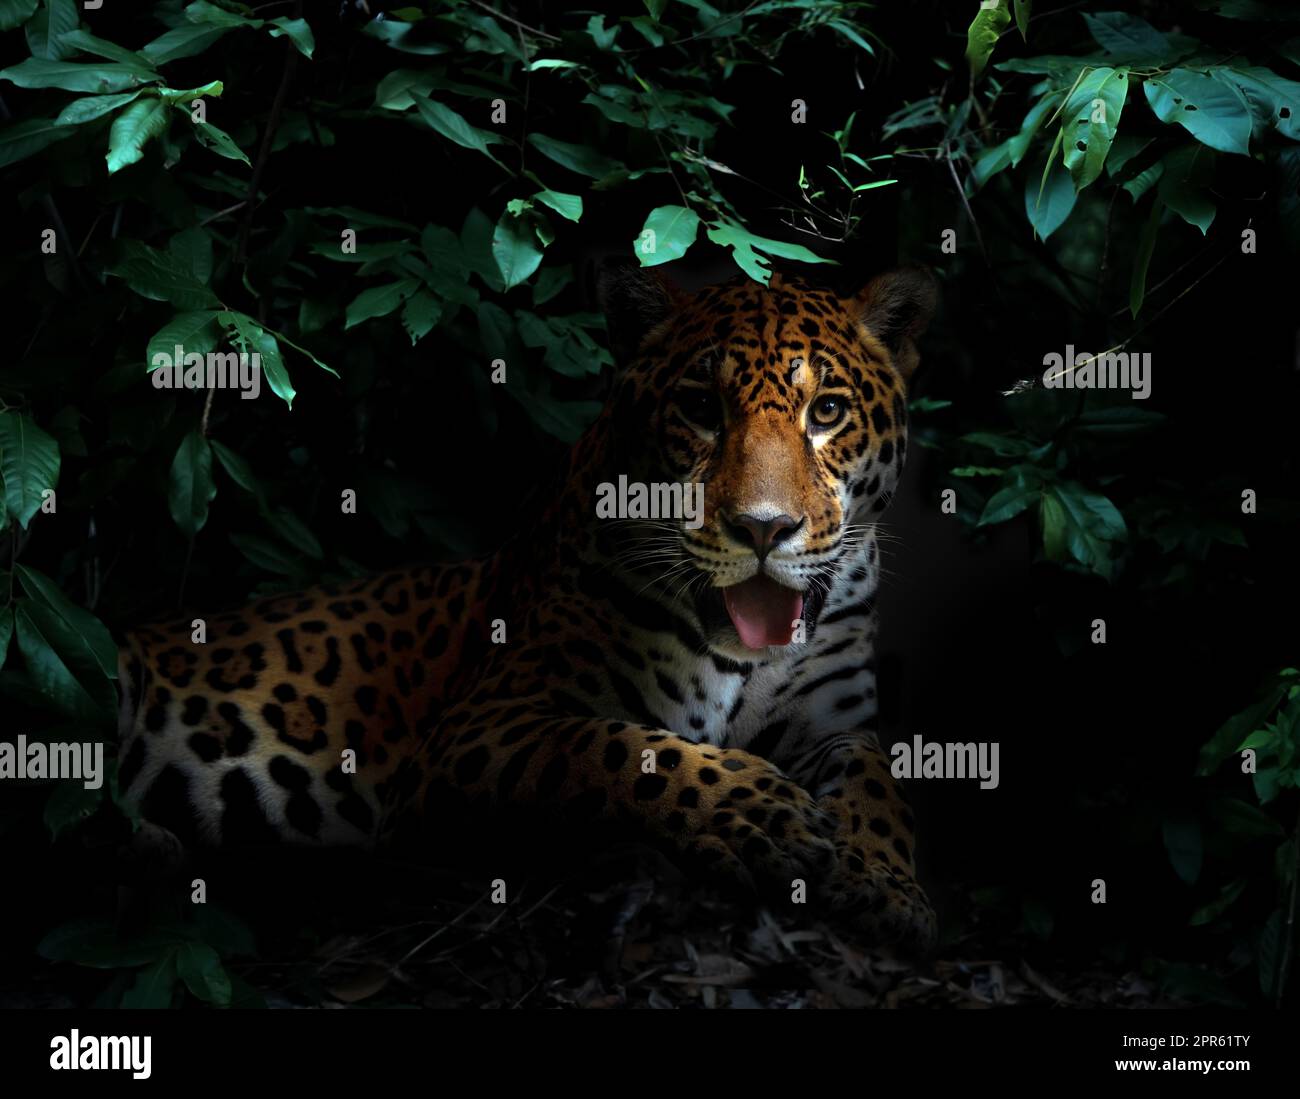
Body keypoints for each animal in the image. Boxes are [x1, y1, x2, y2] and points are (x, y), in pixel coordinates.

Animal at [116, 260, 939, 950]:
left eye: (827, 411)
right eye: (702, 407)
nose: (763, 528)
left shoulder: (834, 722)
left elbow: (877, 775)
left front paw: (883, 882)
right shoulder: (482, 725)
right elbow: (623, 747)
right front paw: (759, 816)